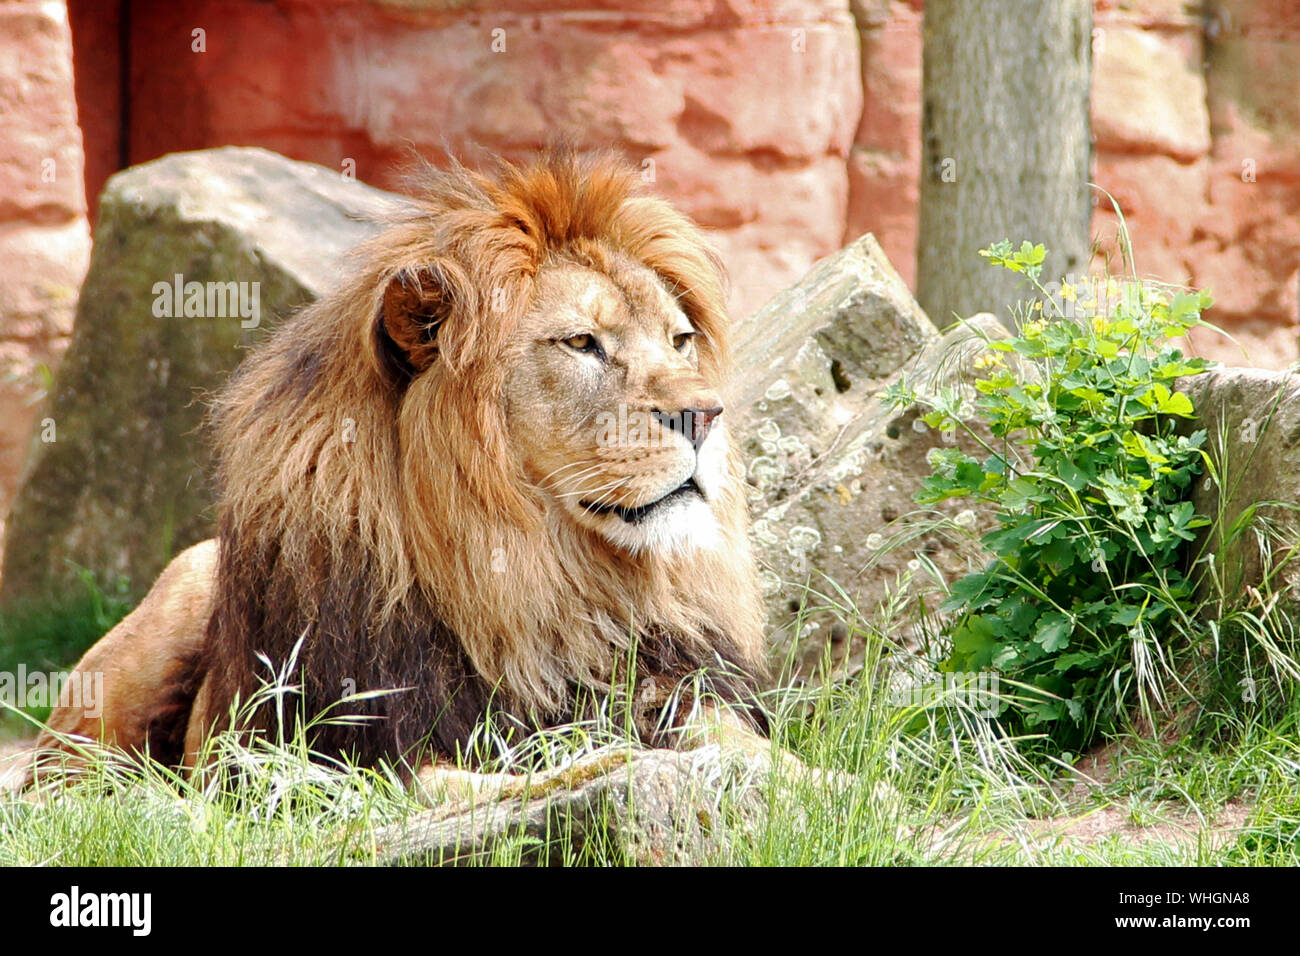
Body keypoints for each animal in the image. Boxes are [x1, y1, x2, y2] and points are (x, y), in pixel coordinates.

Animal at [29, 149, 778, 800]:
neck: (542, 580)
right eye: (582, 343)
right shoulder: (334, 759)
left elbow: (754, 748)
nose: (705, 416)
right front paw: (595, 765)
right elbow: (468, 785)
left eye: (681, 341)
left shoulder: (679, 678)